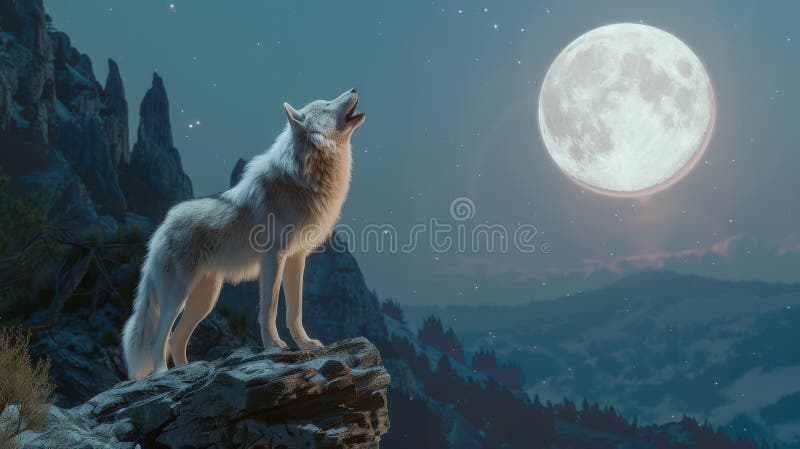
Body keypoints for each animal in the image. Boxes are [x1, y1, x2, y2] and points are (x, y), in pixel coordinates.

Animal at [122, 89, 365, 380]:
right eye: (328, 104)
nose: (354, 88)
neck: (304, 176)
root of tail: (160, 229)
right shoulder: (273, 258)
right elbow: (270, 308)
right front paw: (273, 344)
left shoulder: (296, 258)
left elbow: (295, 311)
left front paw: (305, 343)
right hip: (177, 294)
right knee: (158, 340)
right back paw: (164, 374)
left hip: (204, 300)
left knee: (175, 339)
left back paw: (188, 371)